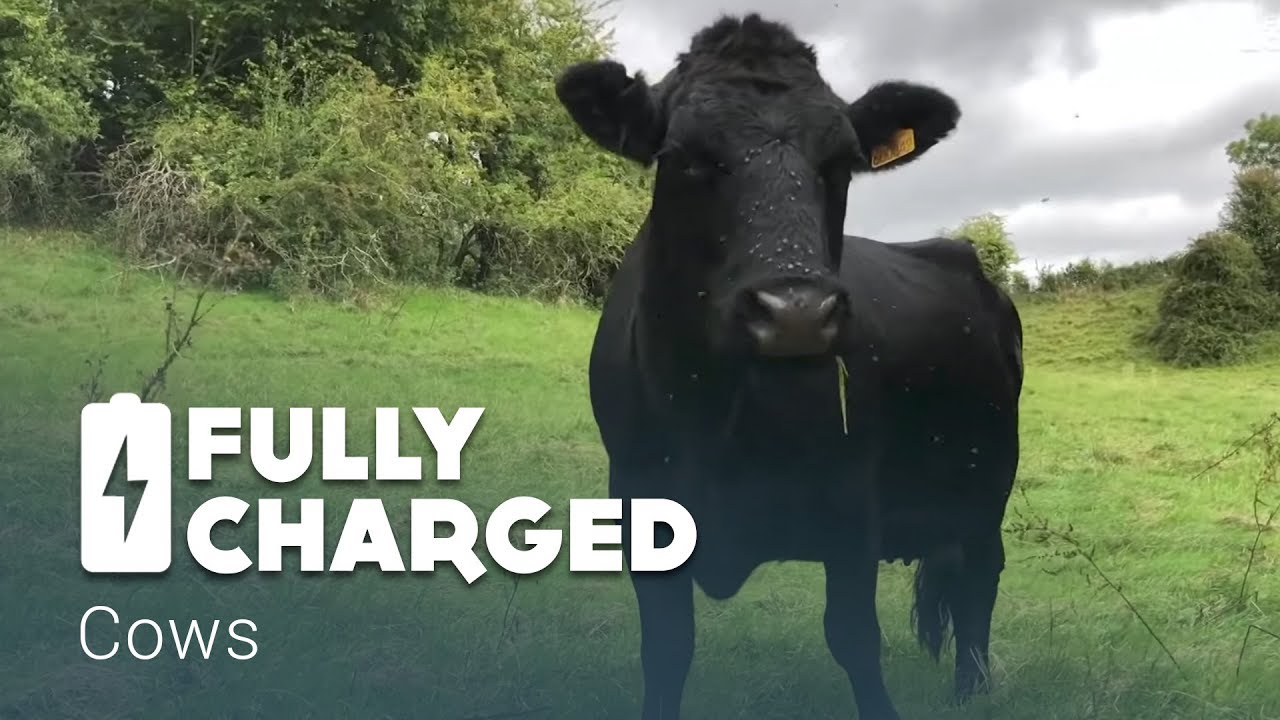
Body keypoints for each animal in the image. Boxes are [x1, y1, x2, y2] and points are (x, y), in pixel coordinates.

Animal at [555, 13, 1024, 720]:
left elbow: (855, 639)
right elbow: (666, 649)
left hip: (987, 483)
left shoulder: (853, 512)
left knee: (979, 583)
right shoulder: (641, 509)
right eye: (682, 156)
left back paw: (972, 690)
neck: (714, 421)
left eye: (844, 163)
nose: (797, 313)